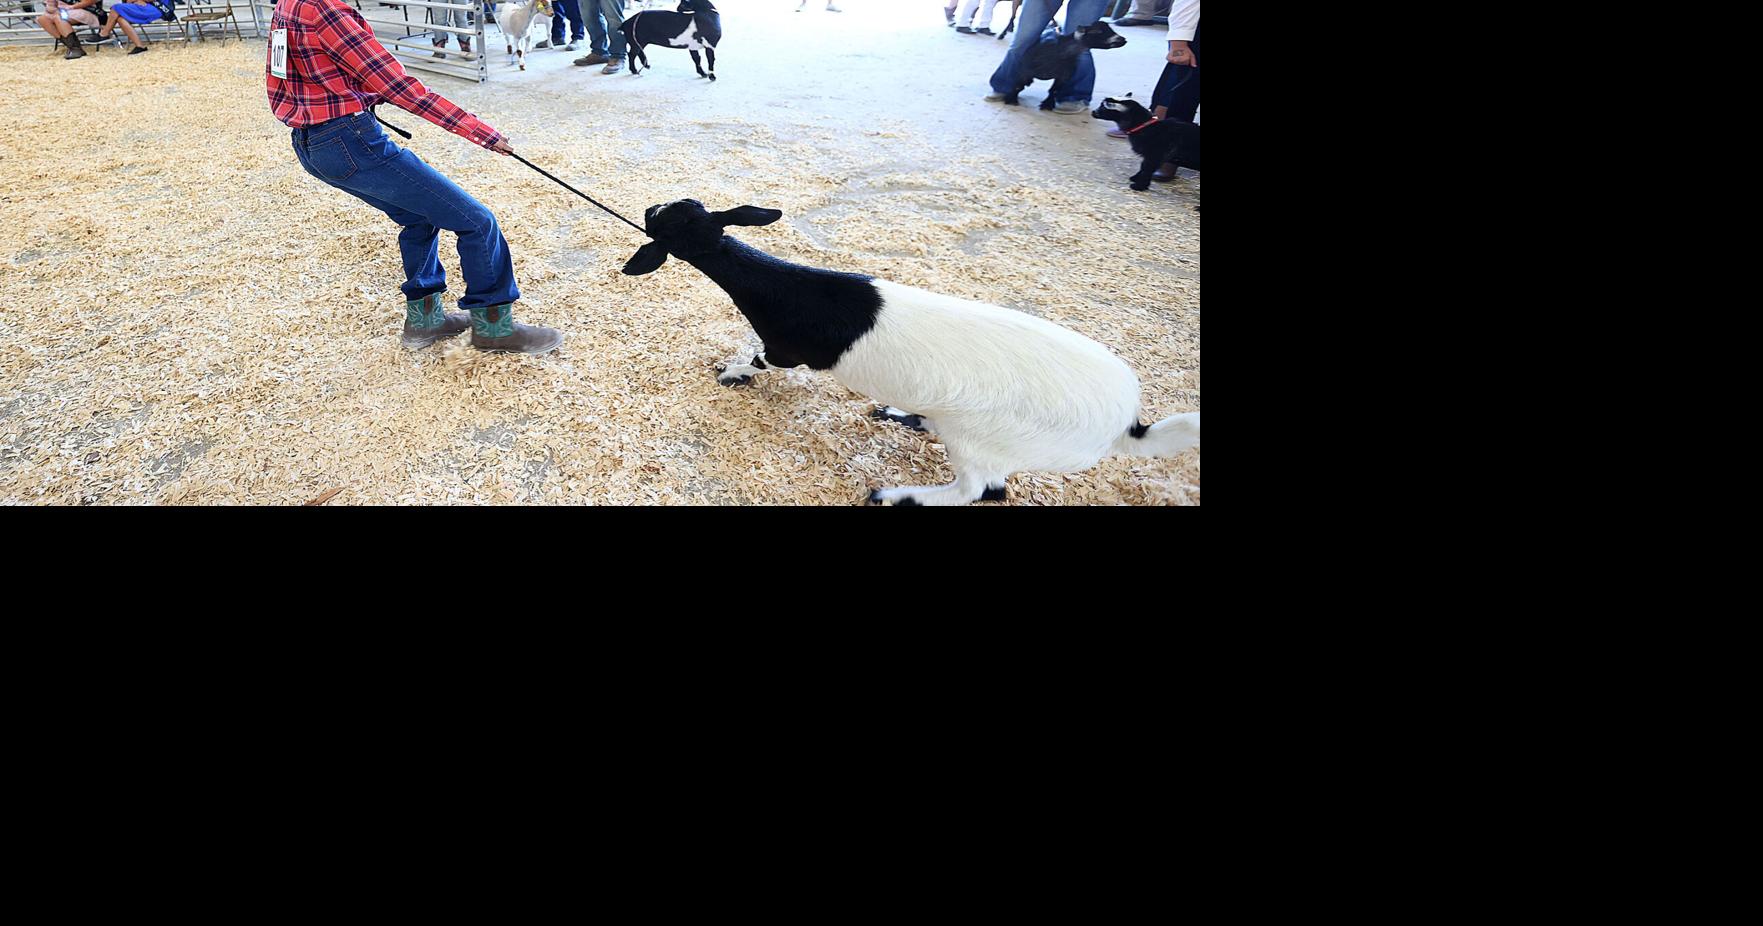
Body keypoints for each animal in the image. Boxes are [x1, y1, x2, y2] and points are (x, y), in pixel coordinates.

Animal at [621, 200, 1200, 506]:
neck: (790, 289)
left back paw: (897, 495)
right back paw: (905, 415)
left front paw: (732, 373)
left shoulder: (789, 349)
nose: (648, 207)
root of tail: (1126, 426)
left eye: (662, 224)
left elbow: (761, 358)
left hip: (984, 439)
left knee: (980, 489)